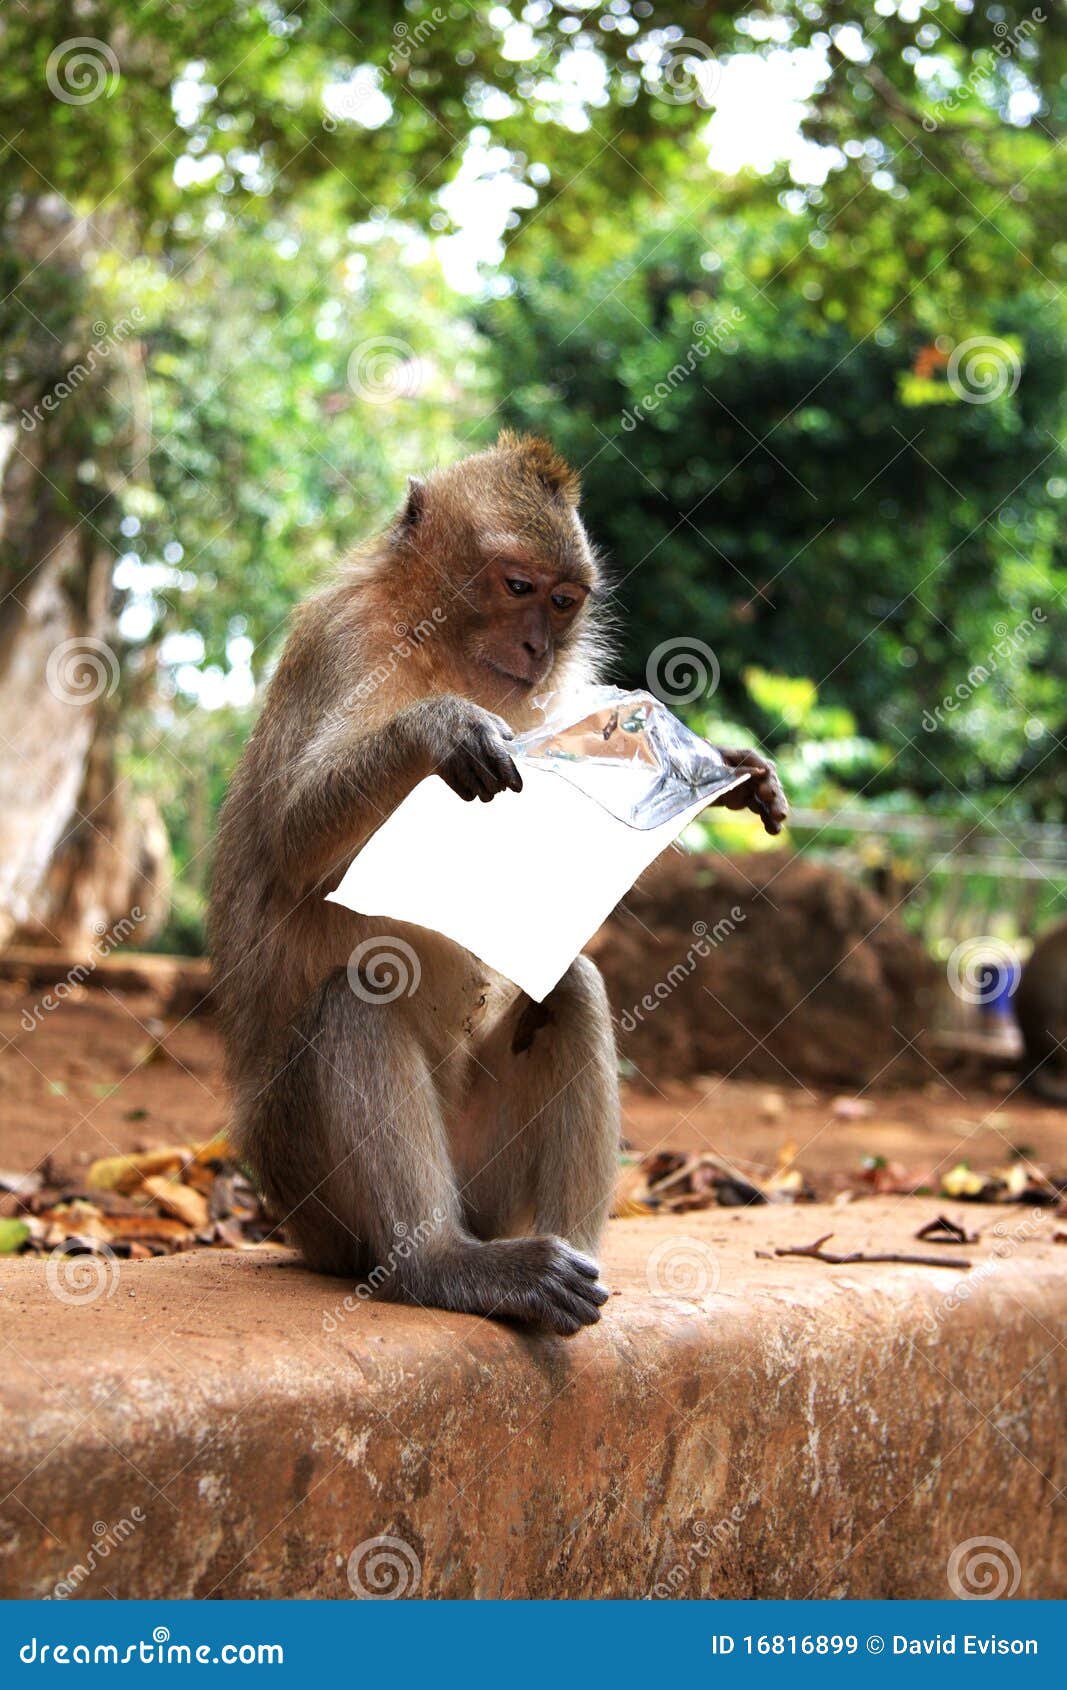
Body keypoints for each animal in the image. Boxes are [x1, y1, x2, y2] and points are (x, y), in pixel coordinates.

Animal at [209, 432, 788, 1333]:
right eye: (516, 588)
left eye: (563, 602)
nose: (537, 649)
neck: (440, 645)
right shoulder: (344, 643)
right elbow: (293, 836)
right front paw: (439, 728)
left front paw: (717, 767)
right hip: (312, 1191)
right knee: (358, 998)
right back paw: (442, 1266)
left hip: (485, 1172)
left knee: (569, 990)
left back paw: (564, 1255)